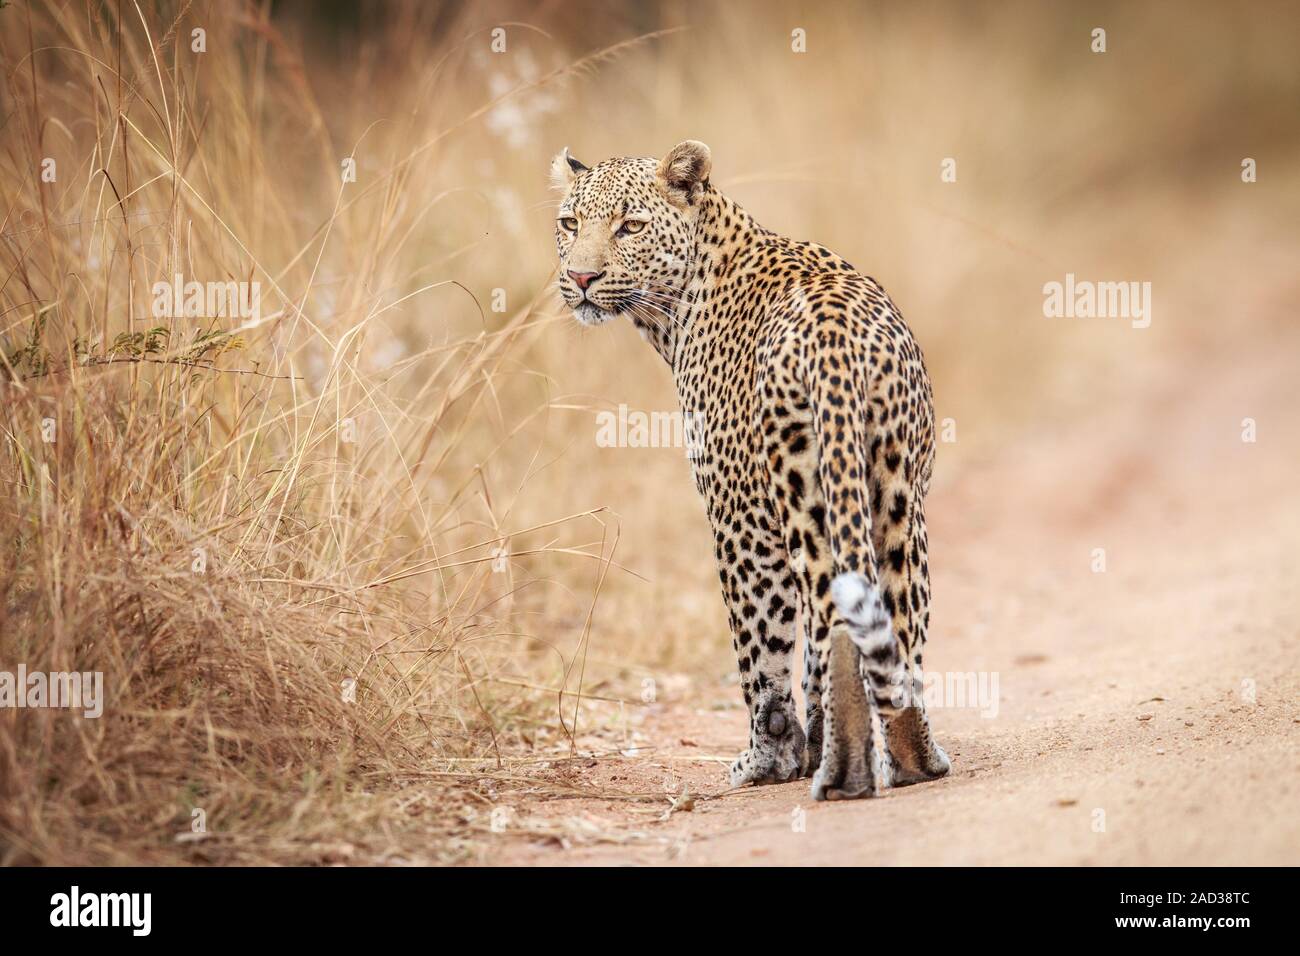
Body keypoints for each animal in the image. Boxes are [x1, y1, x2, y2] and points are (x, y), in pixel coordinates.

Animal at [550, 140, 951, 799]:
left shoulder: (737, 514)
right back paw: (914, 756)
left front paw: (769, 759)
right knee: (896, 621)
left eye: (630, 226)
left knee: (825, 623)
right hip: (896, 495)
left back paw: (838, 768)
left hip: (801, 500)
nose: (581, 278)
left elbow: (760, 653)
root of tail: (836, 341)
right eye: (569, 224)